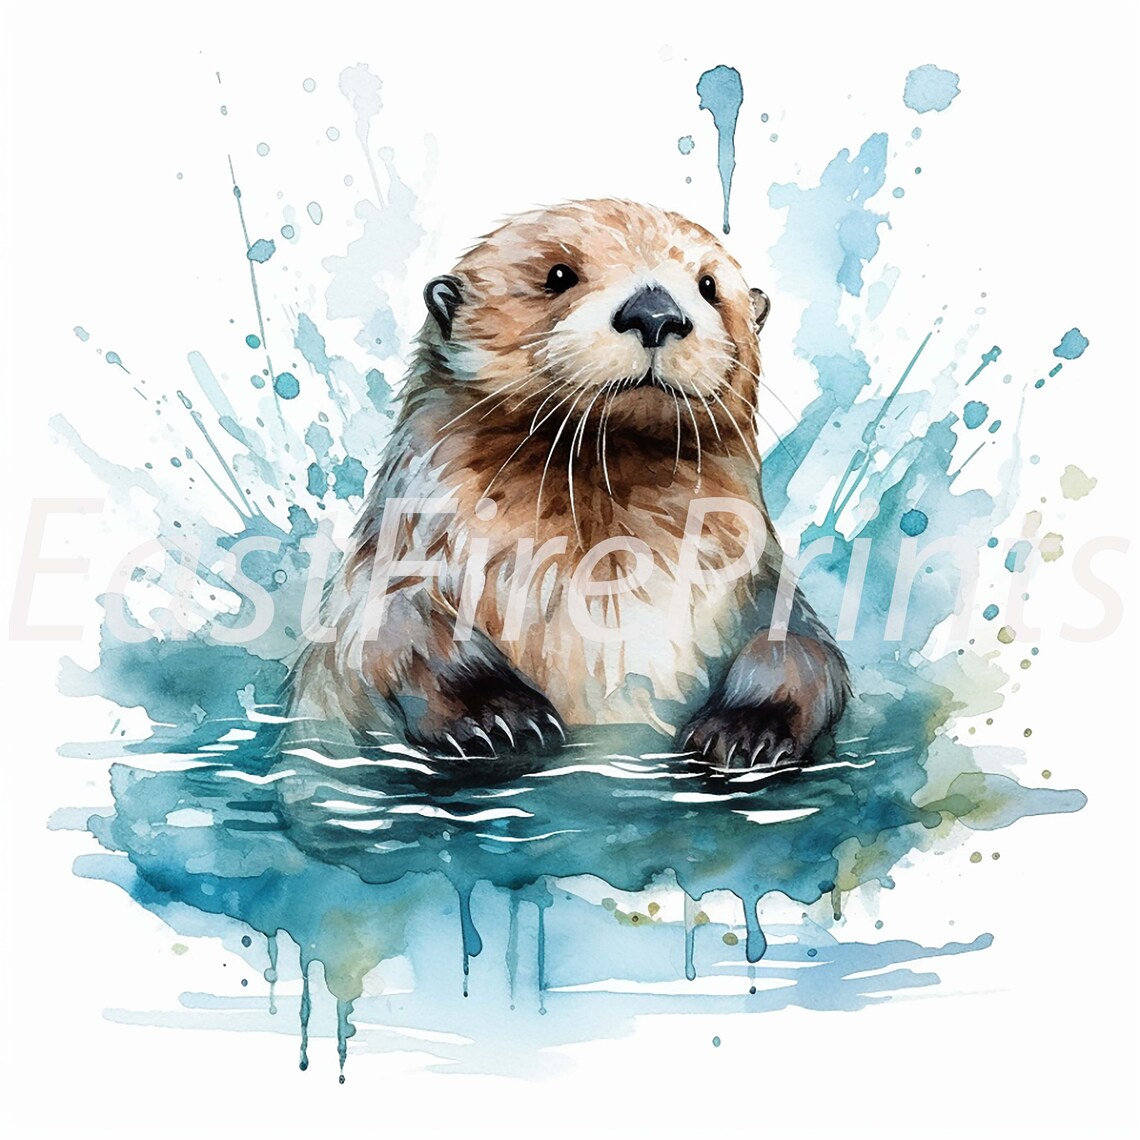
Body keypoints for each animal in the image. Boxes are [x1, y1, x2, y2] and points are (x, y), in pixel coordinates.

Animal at [287, 199, 848, 770]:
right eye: (558, 275)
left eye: (709, 285)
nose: (655, 313)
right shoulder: (403, 554)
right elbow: (389, 629)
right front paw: (500, 717)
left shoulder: (755, 578)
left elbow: (801, 645)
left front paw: (746, 732)